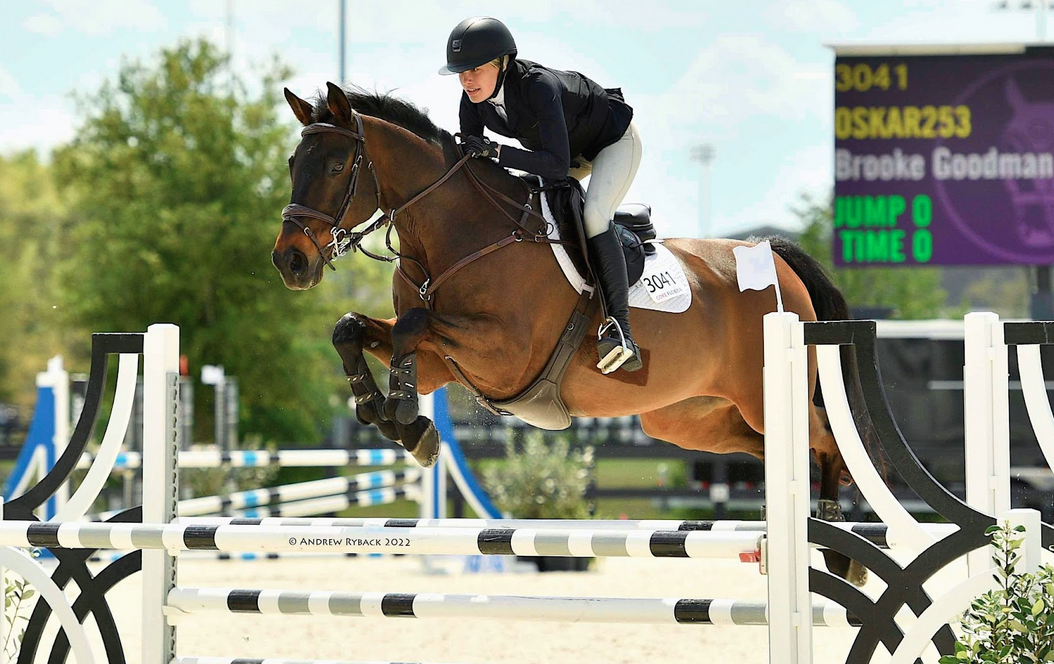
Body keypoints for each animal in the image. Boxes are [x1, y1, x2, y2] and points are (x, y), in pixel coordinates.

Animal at [272, 83, 869, 584]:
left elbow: (412, 328)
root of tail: (776, 258)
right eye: (293, 163)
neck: (463, 233)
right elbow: (352, 329)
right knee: (778, 447)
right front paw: (390, 415)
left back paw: (842, 548)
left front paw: (403, 417)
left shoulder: (504, 354)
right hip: (691, 419)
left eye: (335, 165)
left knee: (826, 439)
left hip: (759, 396)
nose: (289, 262)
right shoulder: (445, 363)